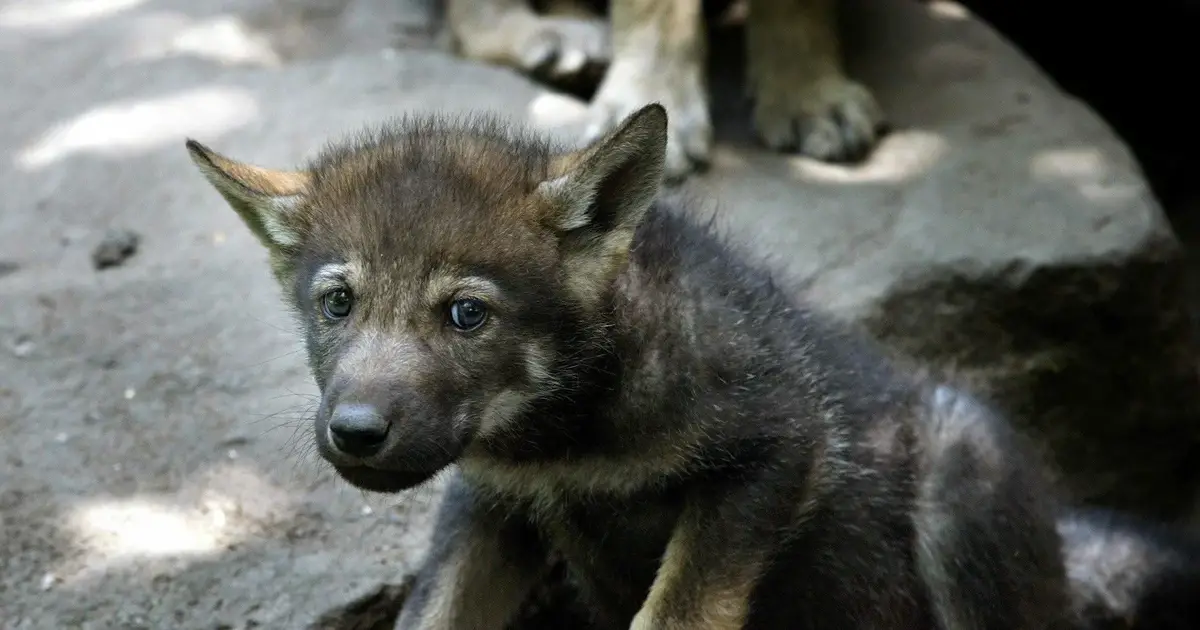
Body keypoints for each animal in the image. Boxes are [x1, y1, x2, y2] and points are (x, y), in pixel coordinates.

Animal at [186, 103, 1070, 629]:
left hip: (967, 475)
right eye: (338, 303)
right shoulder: (494, 503)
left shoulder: (778, 447)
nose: (356, 432)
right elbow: (434, 610)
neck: (567, 437)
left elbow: (675, 613)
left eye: (467, 314)